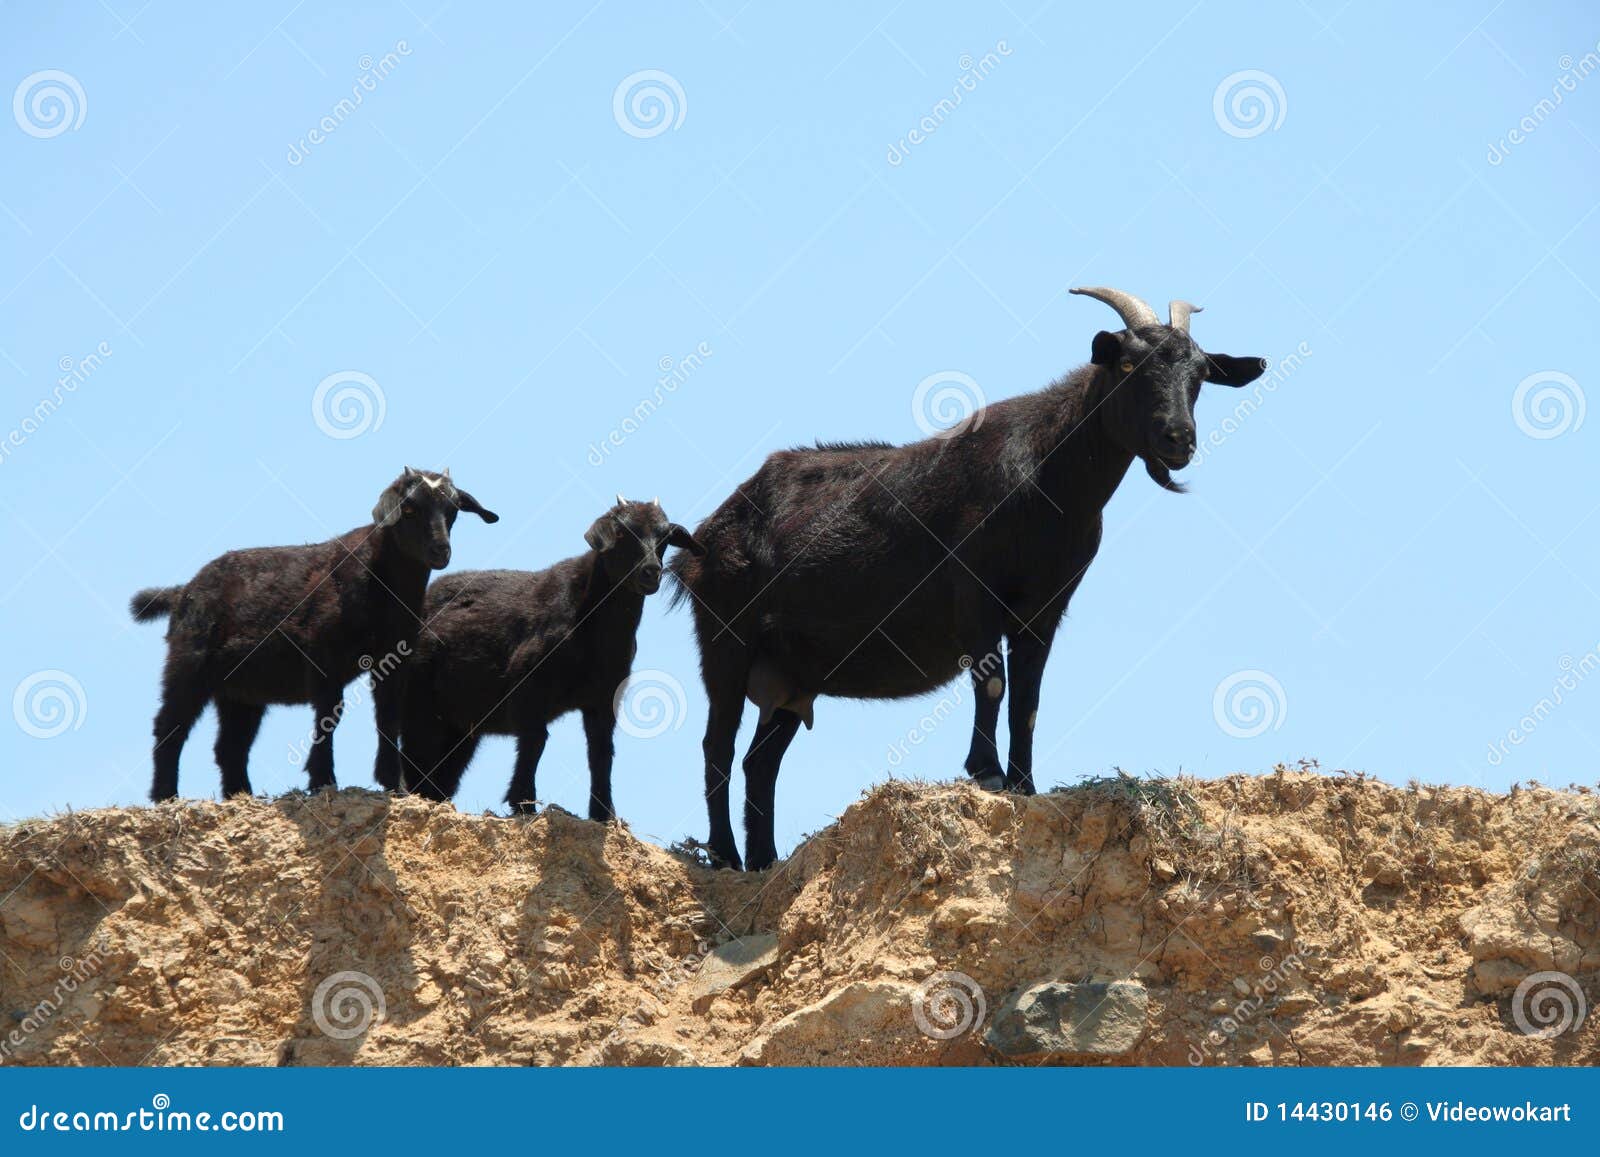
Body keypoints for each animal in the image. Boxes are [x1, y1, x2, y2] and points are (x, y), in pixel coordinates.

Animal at [130, 467, 498, 801]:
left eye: (453, 510)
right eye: (408, 508)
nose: (441, 551)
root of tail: (182, 592)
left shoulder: (393, 657)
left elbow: (388, 717)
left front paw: (395, 785)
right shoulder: (323, 654)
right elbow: (328, 715)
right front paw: (322, 780)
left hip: (240, 689)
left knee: (230, 746)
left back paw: (241, 795)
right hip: (189, 660)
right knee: (170, 726)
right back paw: (165, 795)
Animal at [398, 497, 705, 819]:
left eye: (665, 538)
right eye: (621, 532)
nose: (651, 572)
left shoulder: (603, 697)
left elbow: (601, 752)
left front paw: (603, 813)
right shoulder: (528, 686)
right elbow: (535, 741)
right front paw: (524, 802)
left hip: (459, 725)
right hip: (417, 699)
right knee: (415, 753)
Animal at [669, 287, 1267, 869]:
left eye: (1199, 375)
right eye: (1127, 364)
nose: (1178, 440)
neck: (1050, 479)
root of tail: (704, 538)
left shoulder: (1044, 607)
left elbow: (1029, 699)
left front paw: (1026, 784)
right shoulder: (975, 589)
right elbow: (993, 681)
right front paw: (988, 772)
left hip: (792, 676)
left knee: (759, 761)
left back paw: (763, 862)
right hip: (726, 641)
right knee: (717, 747)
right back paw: (723, 856)